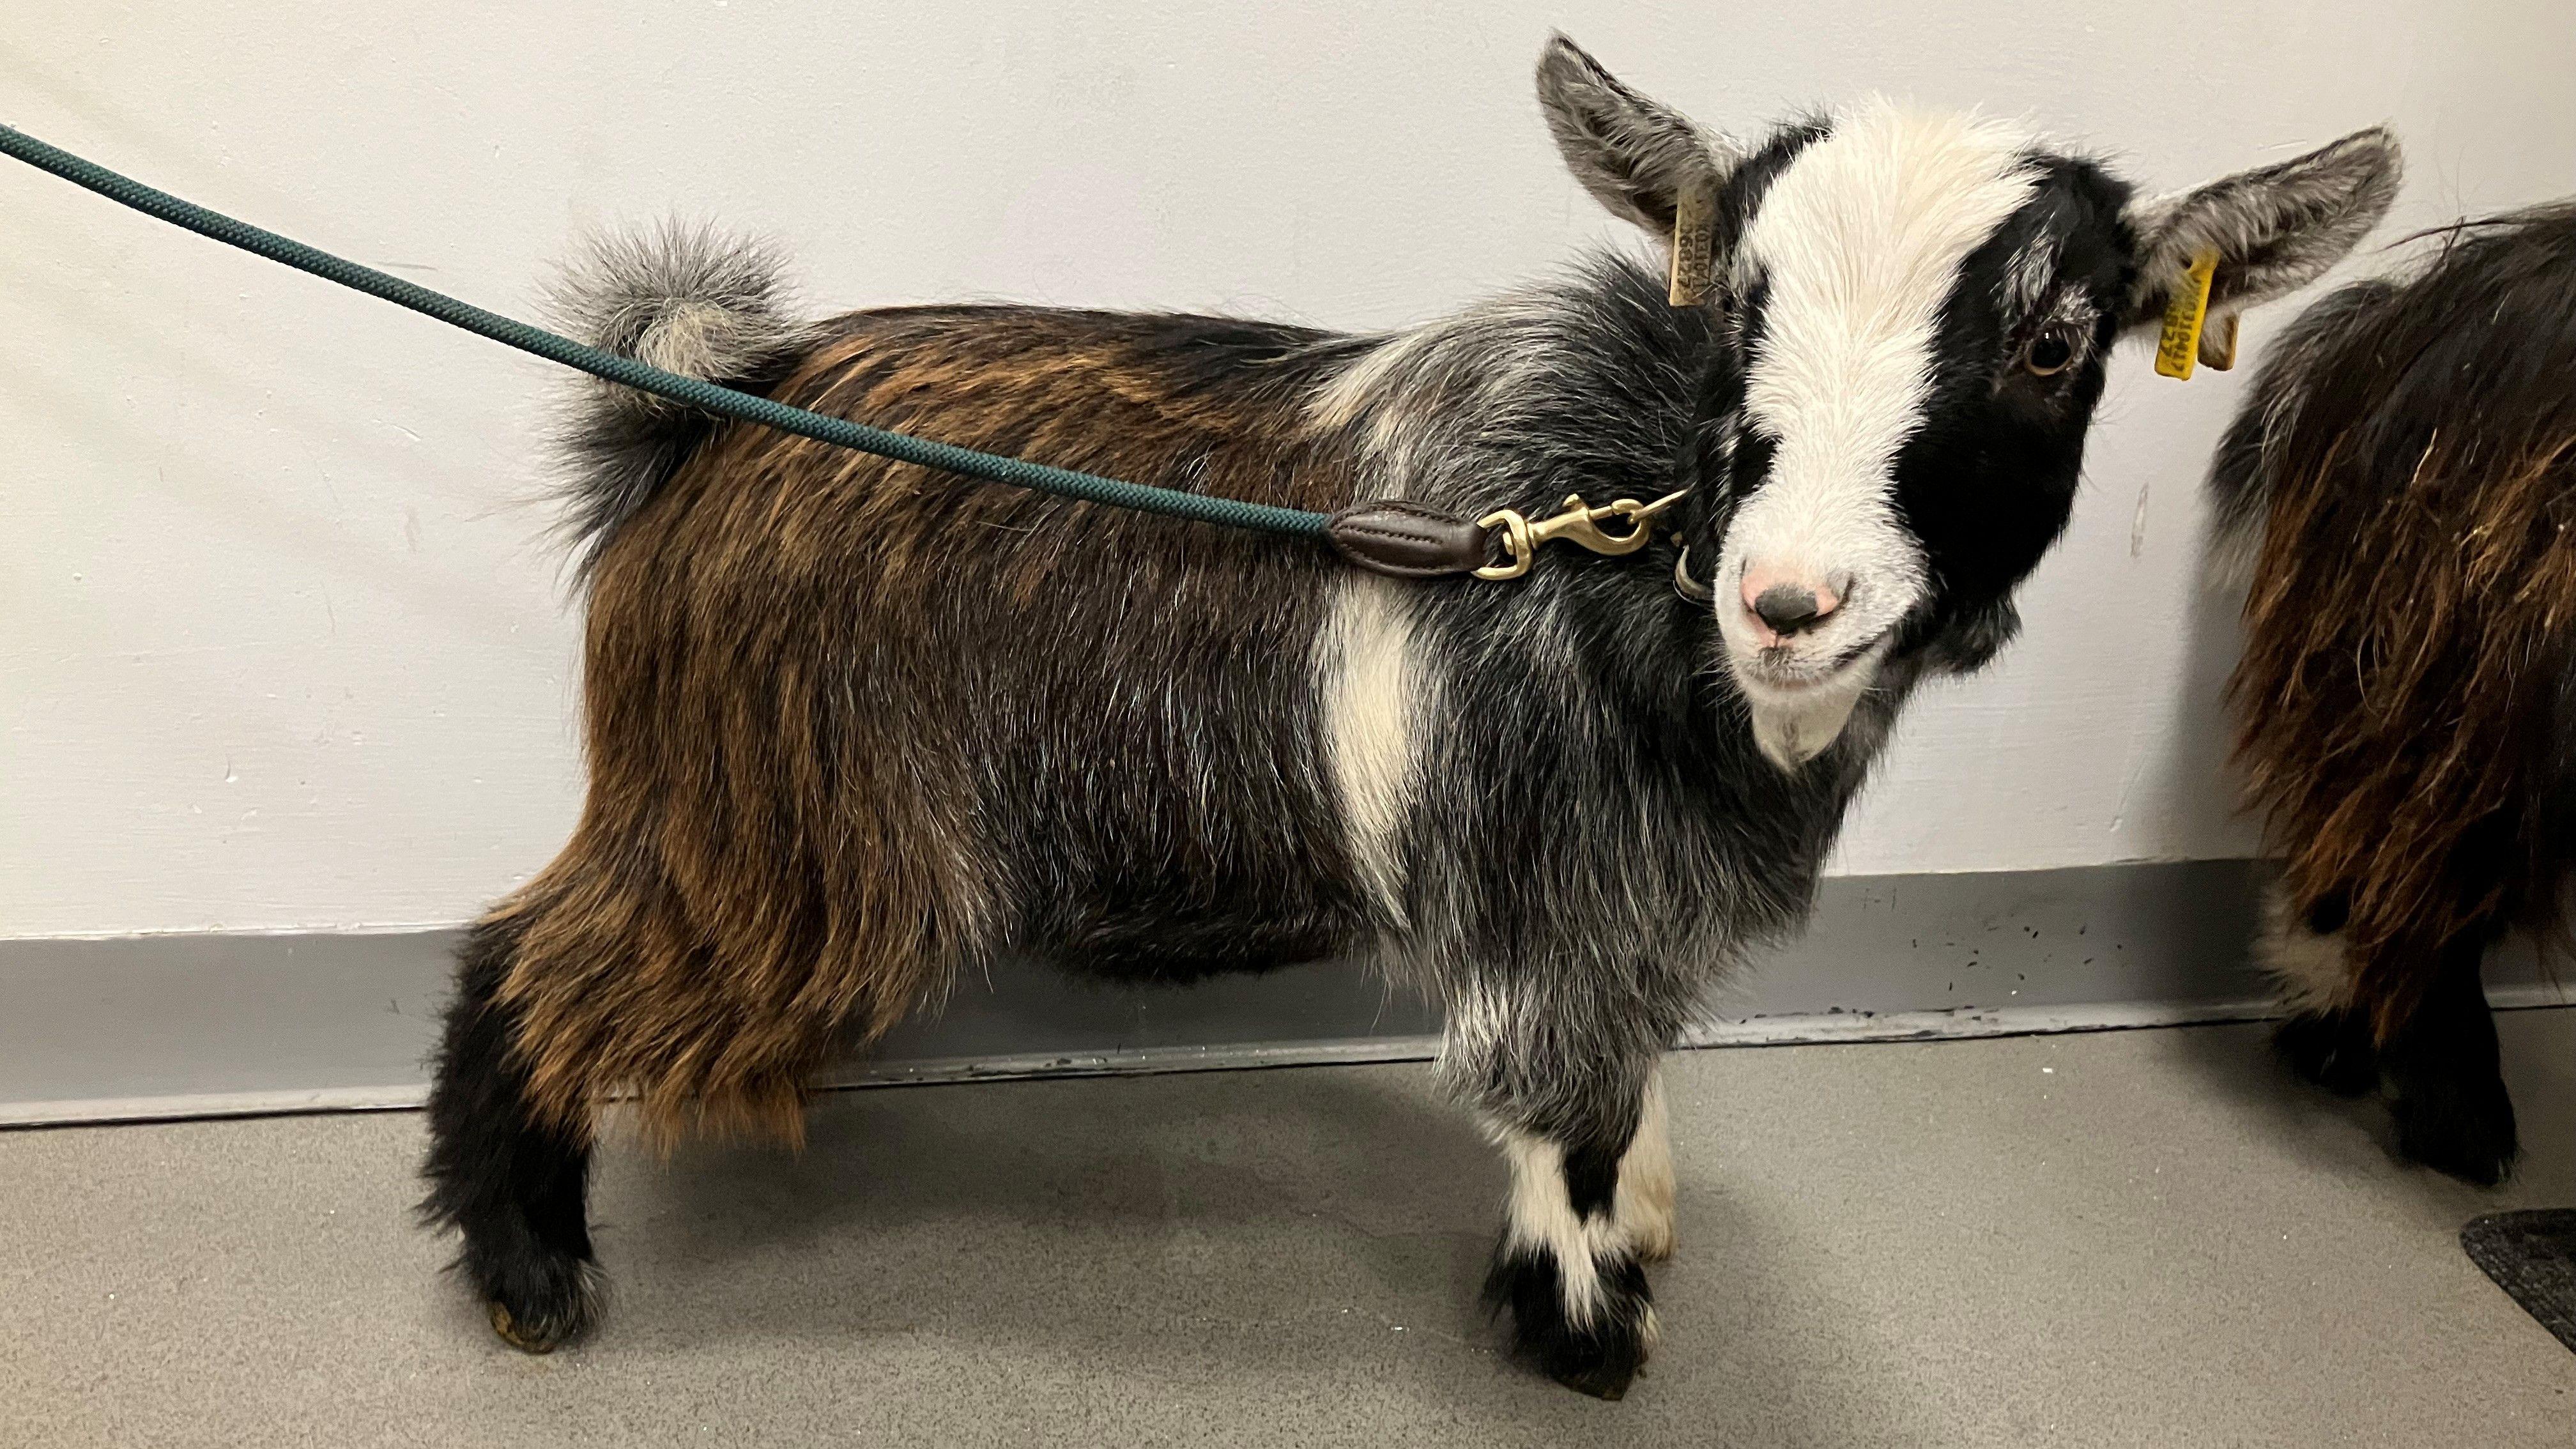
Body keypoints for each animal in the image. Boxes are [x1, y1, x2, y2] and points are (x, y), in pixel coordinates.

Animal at [421, 35, 2399, 1397]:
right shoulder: (1557, 901)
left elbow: (1633, 1081)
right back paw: (530, 1279)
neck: (1633, 546)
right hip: (779, 840)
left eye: (2057, 342)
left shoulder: (1635, 909)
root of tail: (695, 418)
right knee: (525, 953)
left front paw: (1645, 1231)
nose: (1792, 600)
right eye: (1739, 309)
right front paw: (1590, 1330)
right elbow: (1565, 1106)